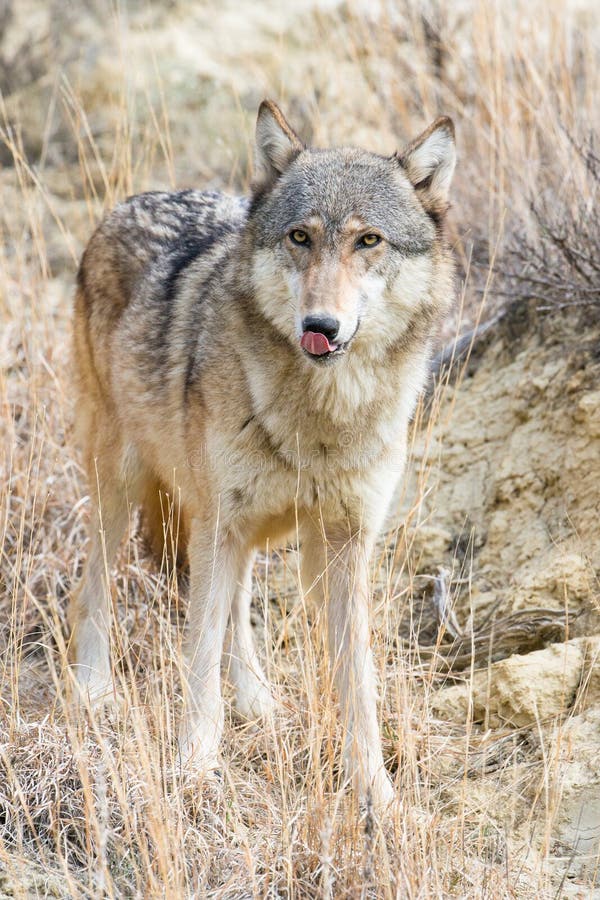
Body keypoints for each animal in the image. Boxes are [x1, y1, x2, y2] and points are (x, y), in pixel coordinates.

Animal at [70, 100, 456, 810]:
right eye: (301, 237)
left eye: (369, 241)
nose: (320, 326)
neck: (321, 421)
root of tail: (134, 199)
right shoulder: (220, 523)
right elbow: (197, 659)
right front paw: (195, 768)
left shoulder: (347, 544)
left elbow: (358, 683)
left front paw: (377, 794)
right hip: (126, 483)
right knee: (96, 585)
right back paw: (93, 689)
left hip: (234, 524)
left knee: (238, 609)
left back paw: (256, 702)